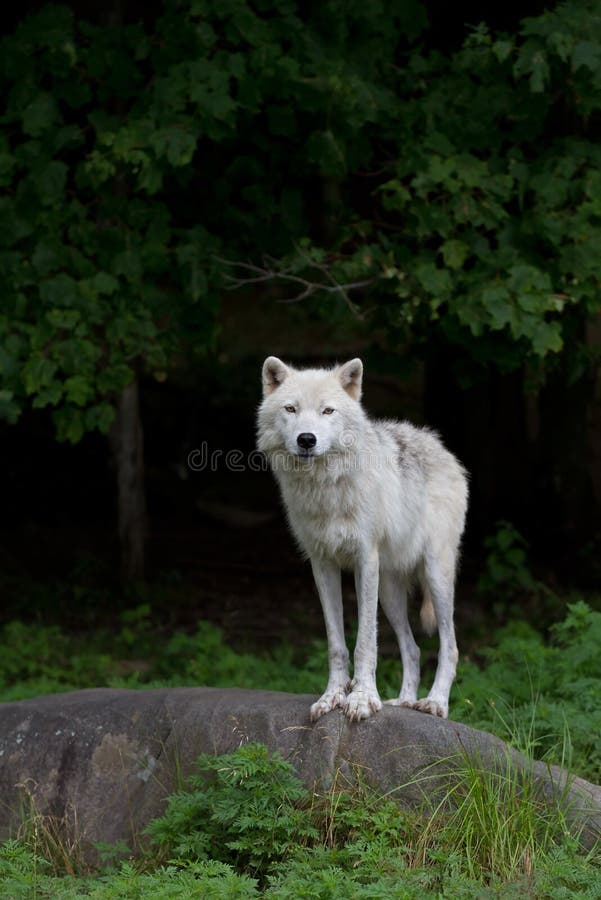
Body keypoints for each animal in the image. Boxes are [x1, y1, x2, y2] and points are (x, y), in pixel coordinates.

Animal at [257, 356, 468, 722]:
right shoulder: (322, 564)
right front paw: (332, 697)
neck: (326, 489)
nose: (307, 439)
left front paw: (361, 699)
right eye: (291, 409)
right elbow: (336, 643)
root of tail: (439, 446)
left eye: (327, 410)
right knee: (413, 648)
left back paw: (435, 703)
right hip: (390, 593)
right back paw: (404, 701)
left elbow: (365, 641)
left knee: (450, 647)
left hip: (435, 576)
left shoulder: (364, 560)